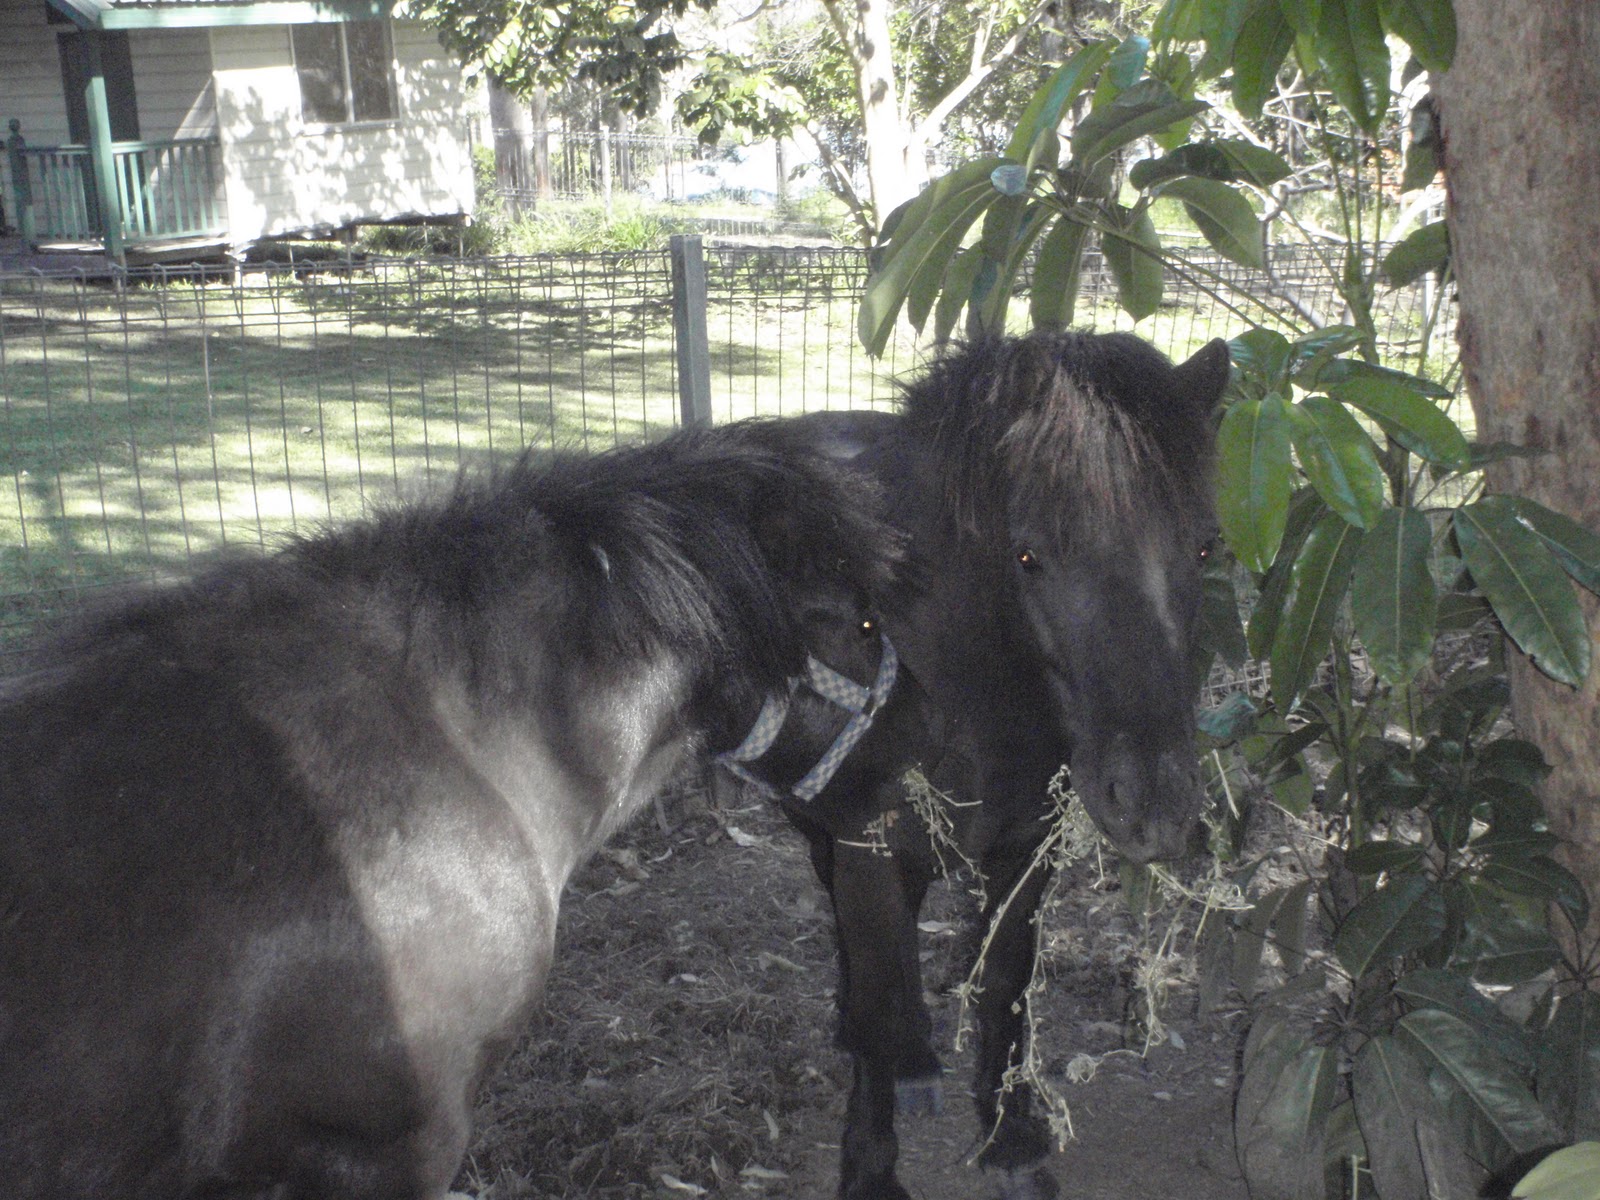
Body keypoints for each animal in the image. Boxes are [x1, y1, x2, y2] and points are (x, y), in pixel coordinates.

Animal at [737, 330, 1231, 1200]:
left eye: (1205, 545)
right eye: (1028, 554)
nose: (1154, 802)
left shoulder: (1028, 844)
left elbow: (1006, 983)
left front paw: (1013, 1140)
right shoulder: (867, 845)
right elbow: (879, 990)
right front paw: (871, 1165)